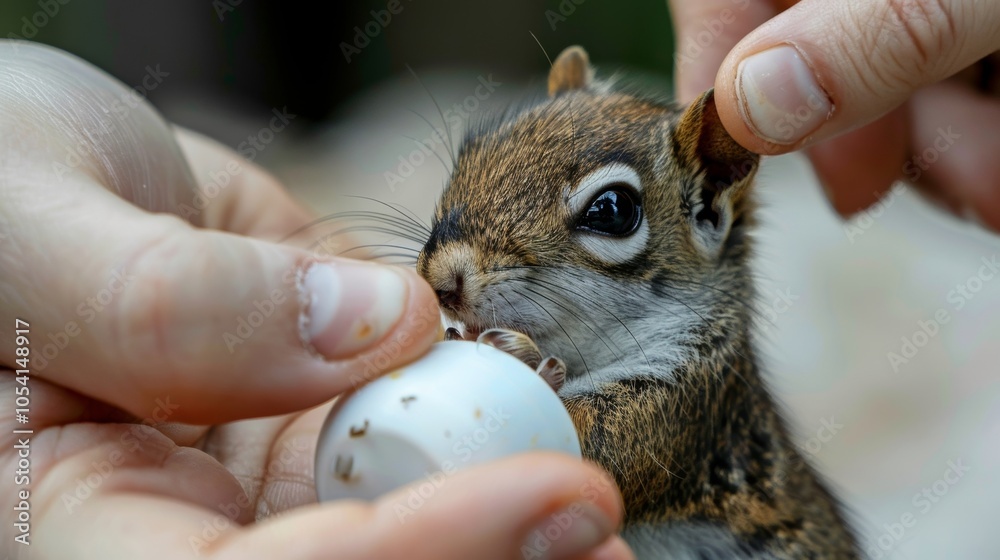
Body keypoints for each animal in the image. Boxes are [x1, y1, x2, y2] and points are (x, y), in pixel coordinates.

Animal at [415, 46, 858, 559]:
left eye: (612, 210)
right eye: (475, 151)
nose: (439, 280)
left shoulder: (674, 415)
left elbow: (587, 445)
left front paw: (513, 357)